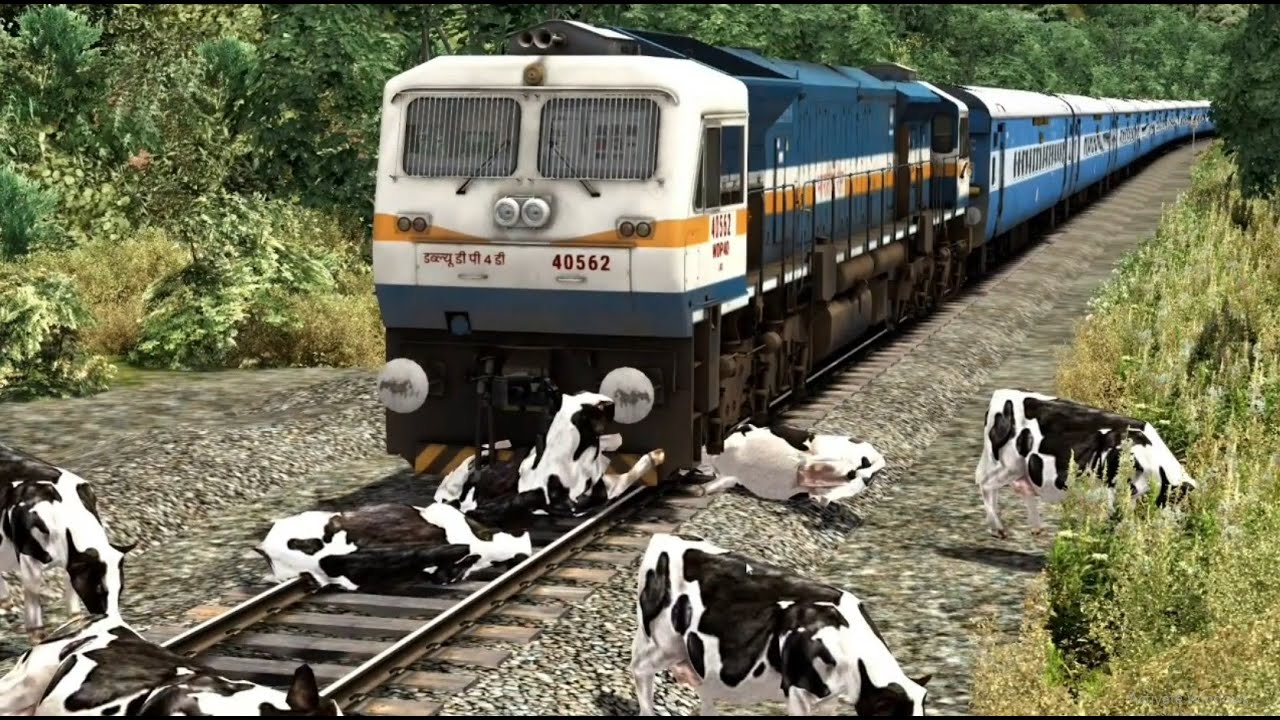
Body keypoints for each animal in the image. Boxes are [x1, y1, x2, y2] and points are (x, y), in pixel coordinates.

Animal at [0, 443, 136, 643]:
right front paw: (38, 638)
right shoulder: (28, 559)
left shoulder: (71, 563)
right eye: (98, 587)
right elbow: (33, 597)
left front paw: (77, 624)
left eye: (121, 587)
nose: (112, 620)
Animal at [629, 533, 930, 716]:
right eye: (890, 711)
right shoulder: (797, 692)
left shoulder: (828, 698)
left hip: (694, 657)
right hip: (661, 642)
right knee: (640, 669)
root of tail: (666, 538)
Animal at [976, 388, 1199, 539]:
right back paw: (998, 529)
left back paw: (1037, 528)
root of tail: (1000, 393)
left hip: (1020, 467)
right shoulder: (1112, 491)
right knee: (985, 483)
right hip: (1004, 463)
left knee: (1022, 488)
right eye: (1178, 502)